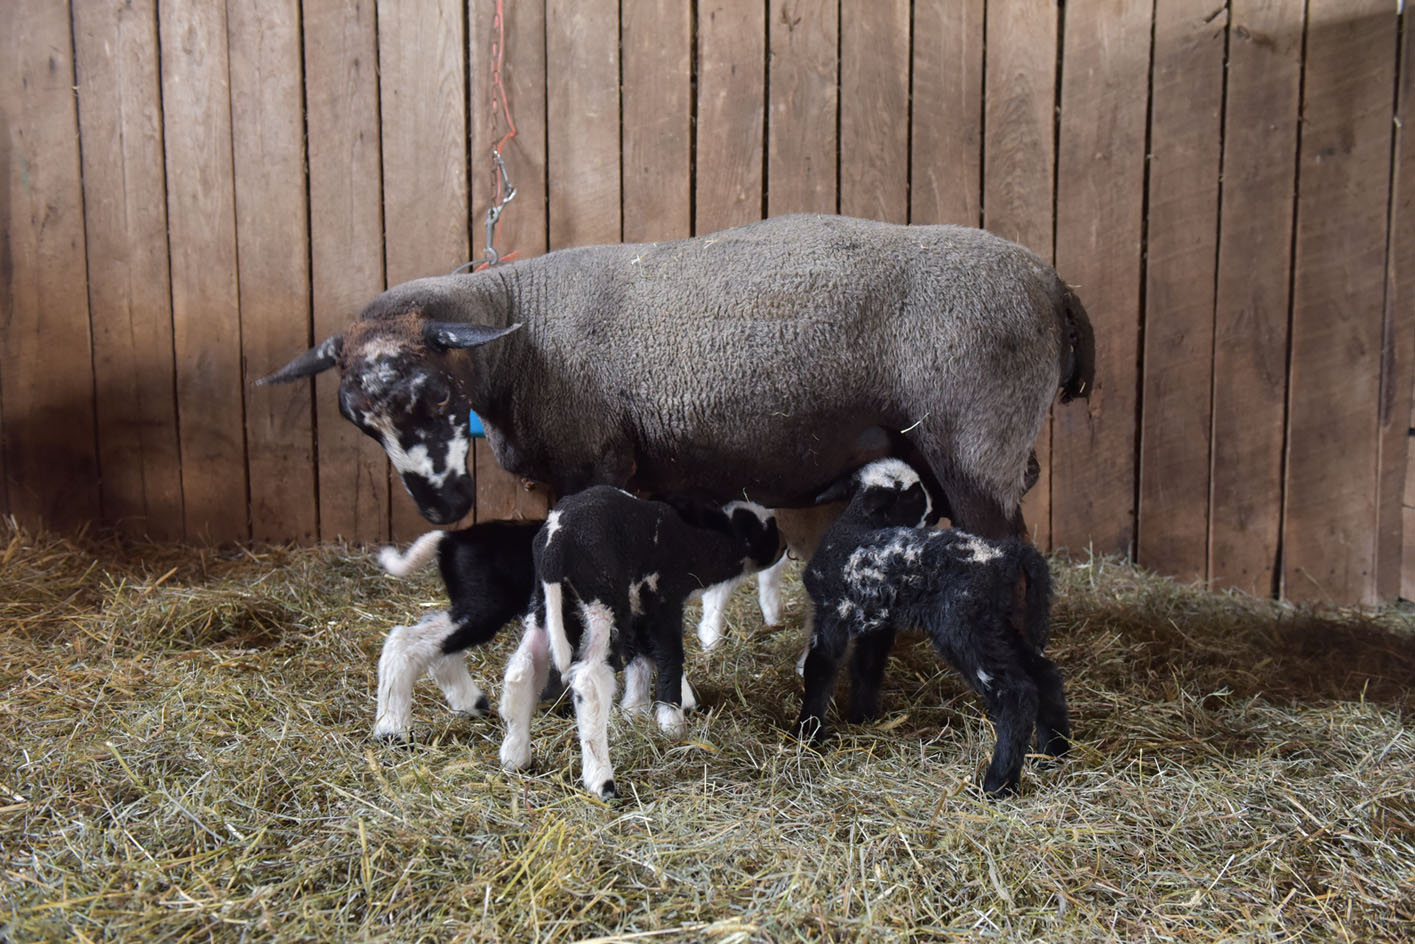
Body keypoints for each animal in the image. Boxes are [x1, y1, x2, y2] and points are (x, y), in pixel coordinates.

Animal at [259, 214, 1094, 543]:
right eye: (357, 419)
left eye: (437, 394)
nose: (439, 508)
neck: (519, 329)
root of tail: (1051, 281)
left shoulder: (592, 464)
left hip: (975, 434)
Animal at [498, 487, 784, 799]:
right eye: (753, 527)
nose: (783, 542)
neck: (696, 542)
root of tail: (555, 542)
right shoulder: (664, 601)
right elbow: (670, 656)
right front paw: (672, 721)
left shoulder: (638, 608)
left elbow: (641, 659)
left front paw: (634, 709)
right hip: (604, 603)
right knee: (589, 680)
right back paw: (602, 781)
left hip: (550, 604)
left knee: (522, 670)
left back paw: (516, 758)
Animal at [798, 458, 1070, 797]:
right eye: (914, 495)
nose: (935, 511)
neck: (857, 525)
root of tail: (1004, 555)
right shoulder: (877, 624)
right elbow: (866, 668)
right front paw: (862, 719)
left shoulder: (831, 614)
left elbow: (819, 669)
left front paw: (807, 734)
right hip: (997, 625)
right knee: (1046, 674)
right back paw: (1055, 753)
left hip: (963, 628)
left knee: (1015, 695)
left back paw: (997, 785)